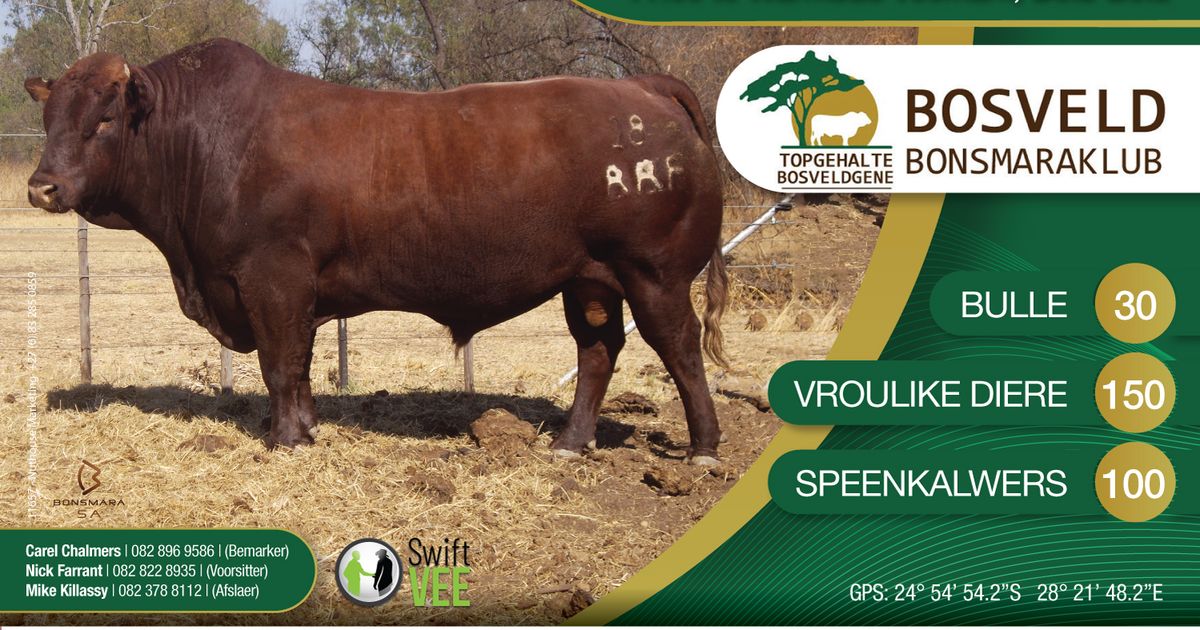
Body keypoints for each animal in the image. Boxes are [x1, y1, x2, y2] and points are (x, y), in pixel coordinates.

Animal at [24, 39, 730, 465]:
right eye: (50, 119)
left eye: (104, 120)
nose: (41, 187)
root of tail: (641, 87)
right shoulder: (291, 290)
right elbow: (301, 366)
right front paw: (307, 427)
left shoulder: (271, 276)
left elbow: (280, 364)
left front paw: (286, 441)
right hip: (589, 278)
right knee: (598, 350)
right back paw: (569, 443)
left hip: (654, 271)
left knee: (679, 347)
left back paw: (703, 447)